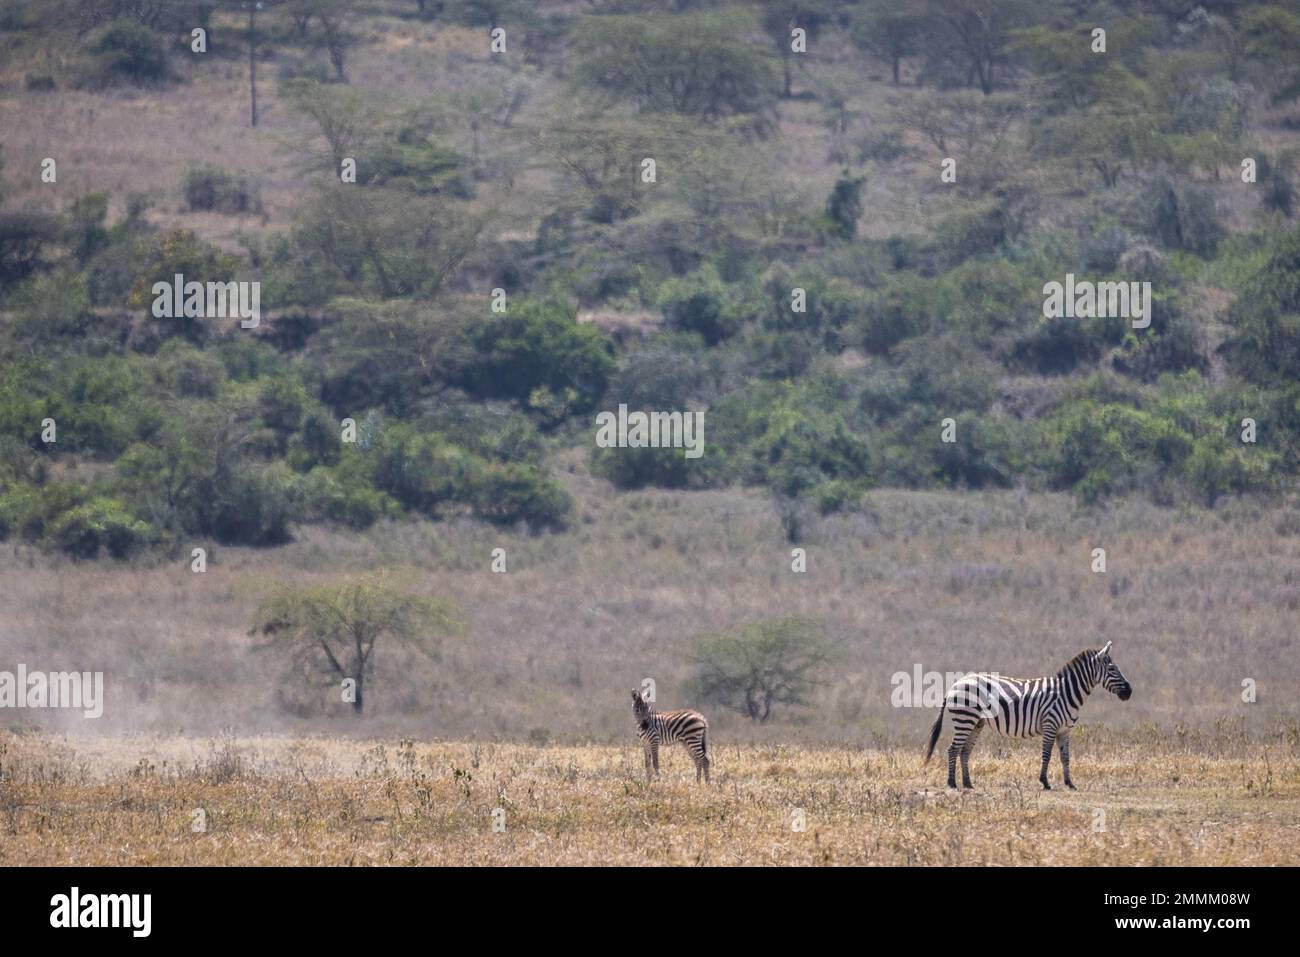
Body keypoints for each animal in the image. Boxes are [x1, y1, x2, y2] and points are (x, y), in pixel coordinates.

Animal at [924, 642, 1132, 791]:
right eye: (1112, 669)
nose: (1129, 692)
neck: (1066, 692)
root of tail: (955, 684)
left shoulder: (1064, 731)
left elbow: (1066, 757)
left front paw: (1070, 784)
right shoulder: (1050, 725)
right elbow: (1047, 755)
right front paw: (1045, 782)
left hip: (976, 722)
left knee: (964, 751)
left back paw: (968, 784)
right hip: (965, 719)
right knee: (953, 749)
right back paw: (952, 783)